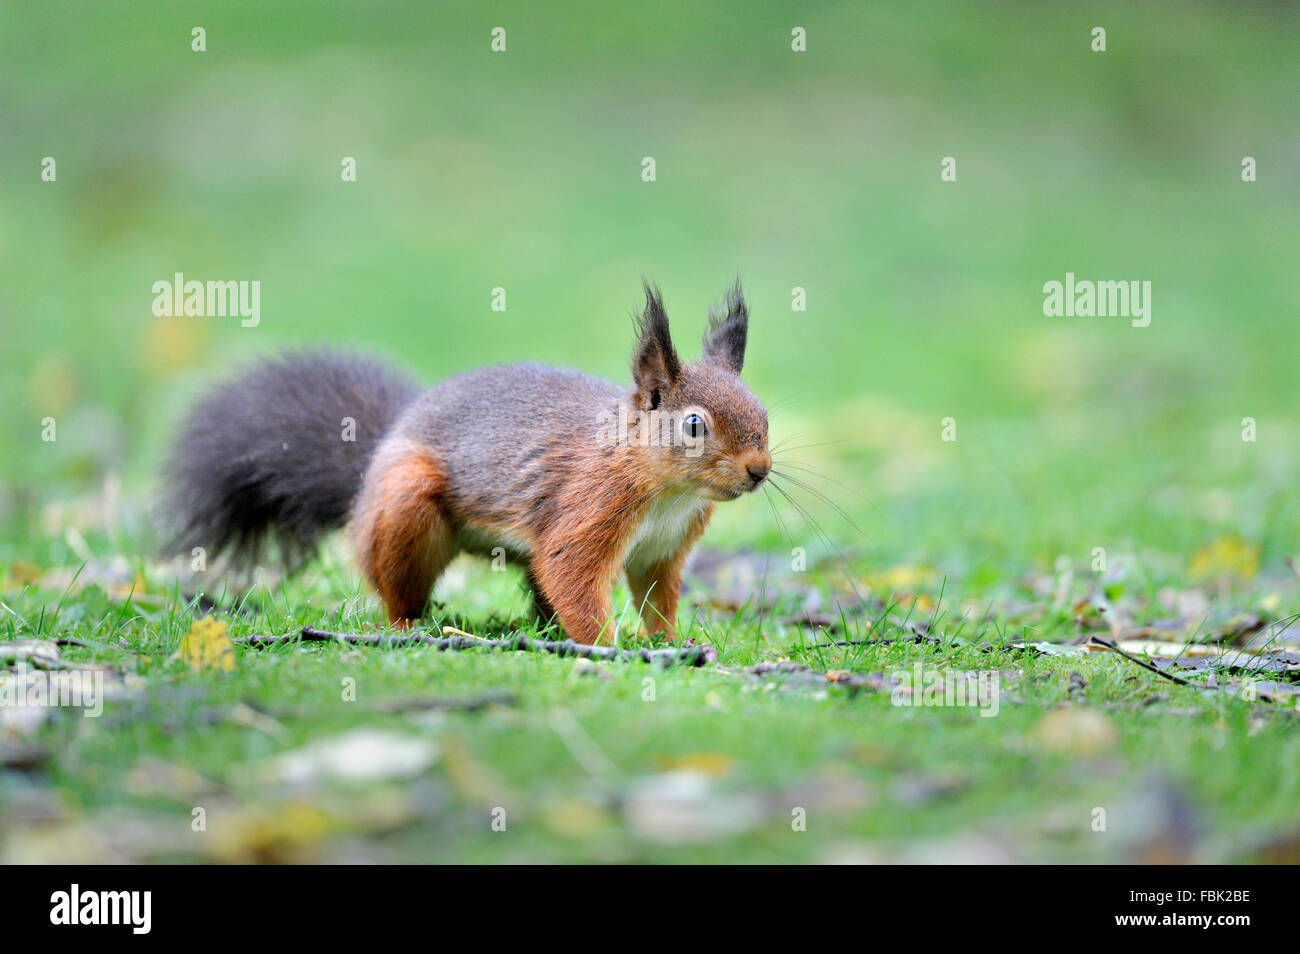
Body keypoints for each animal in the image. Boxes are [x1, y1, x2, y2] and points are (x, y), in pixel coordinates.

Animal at [160, 281, 770, 644]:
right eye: (695, 425)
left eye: (764, 412)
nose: (759, 470)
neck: (670, 492)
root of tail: (368, 473)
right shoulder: (589, 502)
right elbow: (572, 572)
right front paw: (604, 646)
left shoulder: (662, 549)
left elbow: (656, 594)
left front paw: (671, 641)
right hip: (403, 505)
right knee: (396, 585)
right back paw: (410, 623)